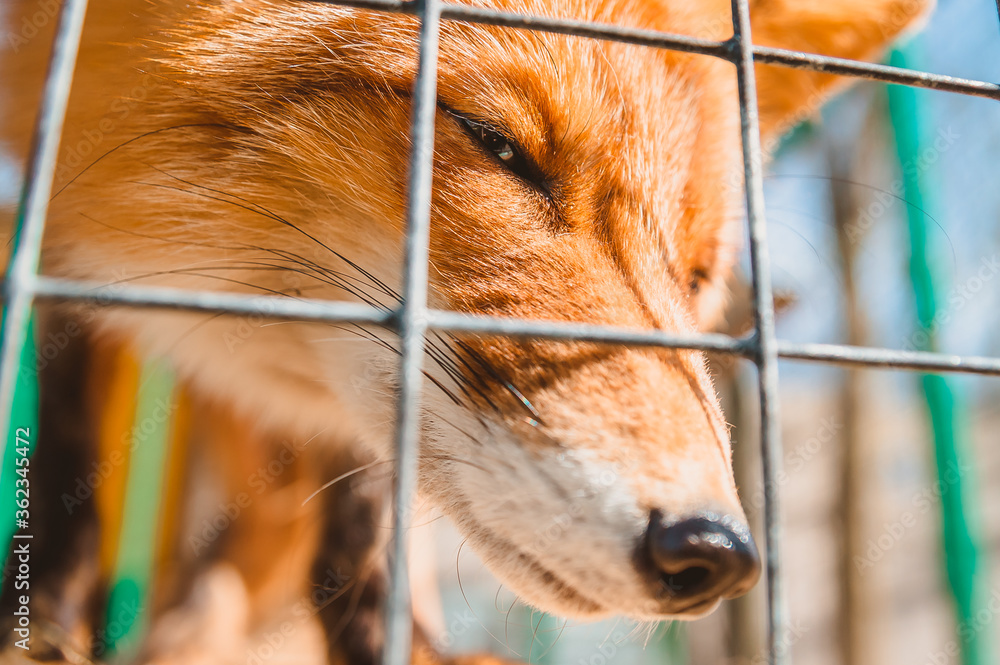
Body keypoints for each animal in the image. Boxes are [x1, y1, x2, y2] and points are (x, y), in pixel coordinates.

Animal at [0, 0, 929, 663]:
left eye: (697, 276)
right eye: (498, 145)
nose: (714, 550)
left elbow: (359, 529)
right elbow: (67, 440)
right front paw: (44, 624)